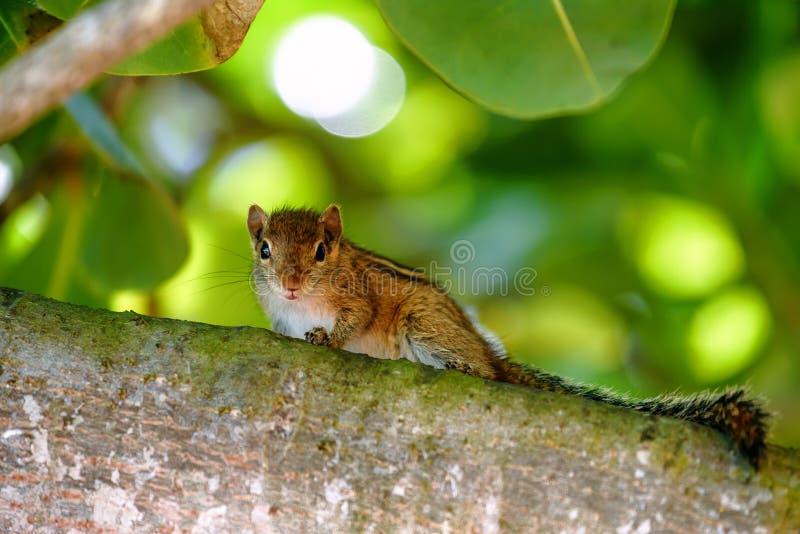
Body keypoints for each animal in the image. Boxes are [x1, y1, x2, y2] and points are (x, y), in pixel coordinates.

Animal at [247, 203, 769, 468]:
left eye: (320, 251)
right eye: (265, 249)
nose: (291, 284)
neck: (304, 303)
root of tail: (487, 350)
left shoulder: (363, 298)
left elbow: (354, 322)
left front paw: (328, 339)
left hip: (422, 323)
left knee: (484, 371)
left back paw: (466, 366)